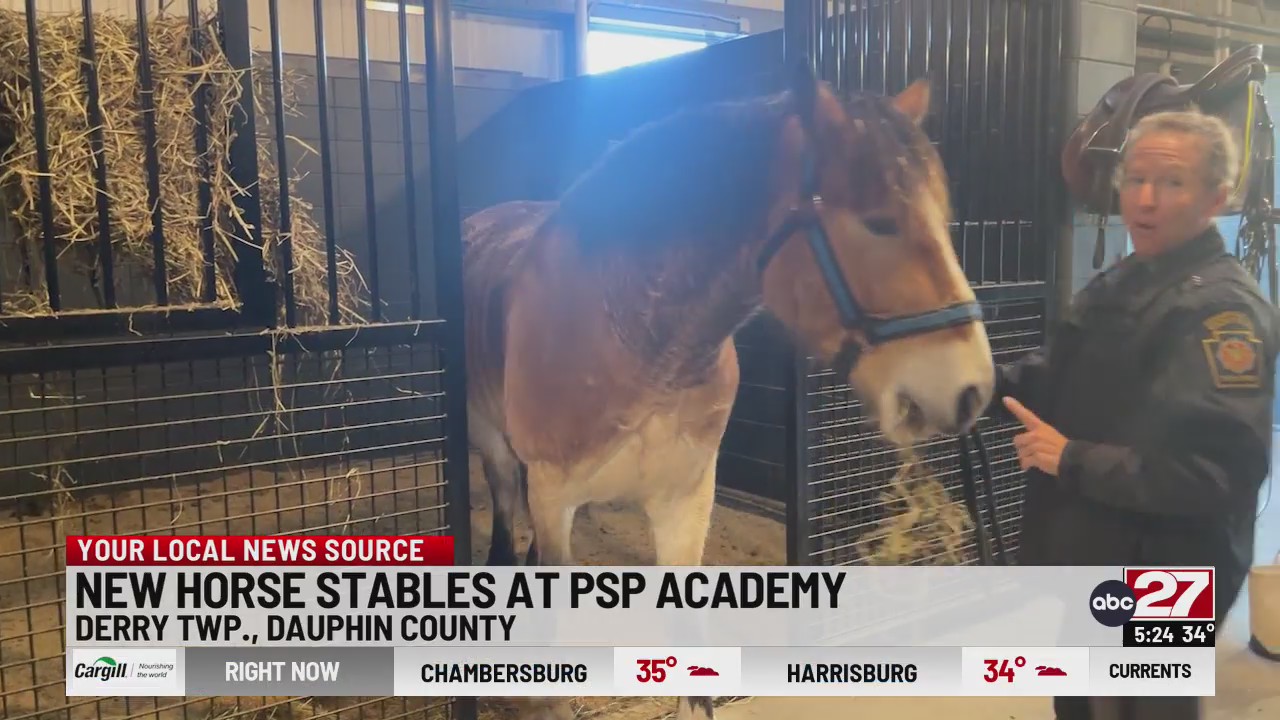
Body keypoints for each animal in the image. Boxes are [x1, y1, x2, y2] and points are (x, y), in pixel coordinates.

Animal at [460, 61, 995, 720]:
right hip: (493, 445)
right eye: (880, 222)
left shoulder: (685, 500)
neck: (635, 341)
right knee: (505, 517)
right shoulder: (554, 495)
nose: (974, 389)